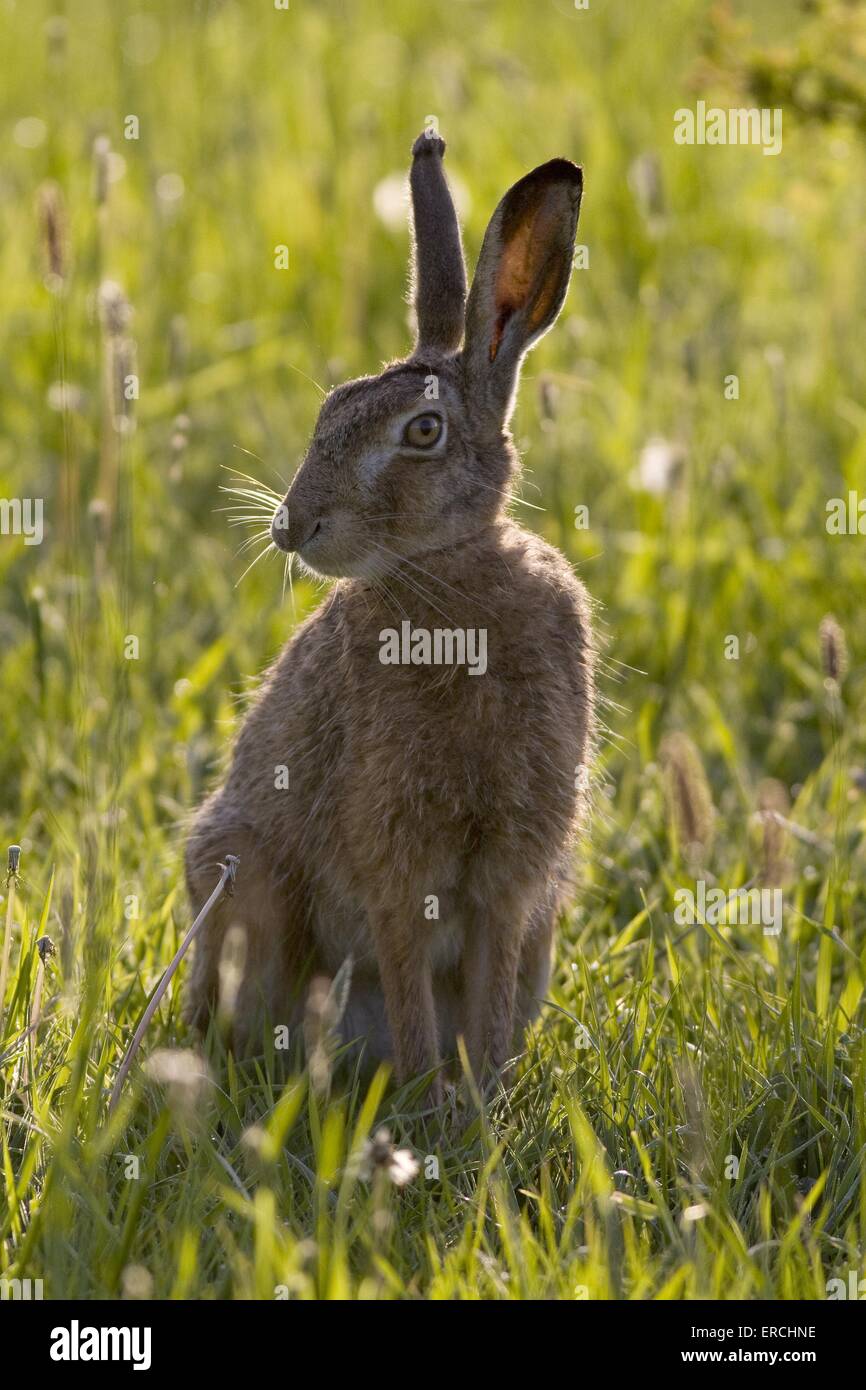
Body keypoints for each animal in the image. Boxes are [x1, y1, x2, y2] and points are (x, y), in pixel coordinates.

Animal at [185, 129, 595, 1099]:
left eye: (423, 433)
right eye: (330, 409)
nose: (291, 526)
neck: (448, 580)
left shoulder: (513, 875)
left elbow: (483, 988)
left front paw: (478, 1101)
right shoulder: (394, 859)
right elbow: (408, 971)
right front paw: (432, 1101)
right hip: (246, 884)